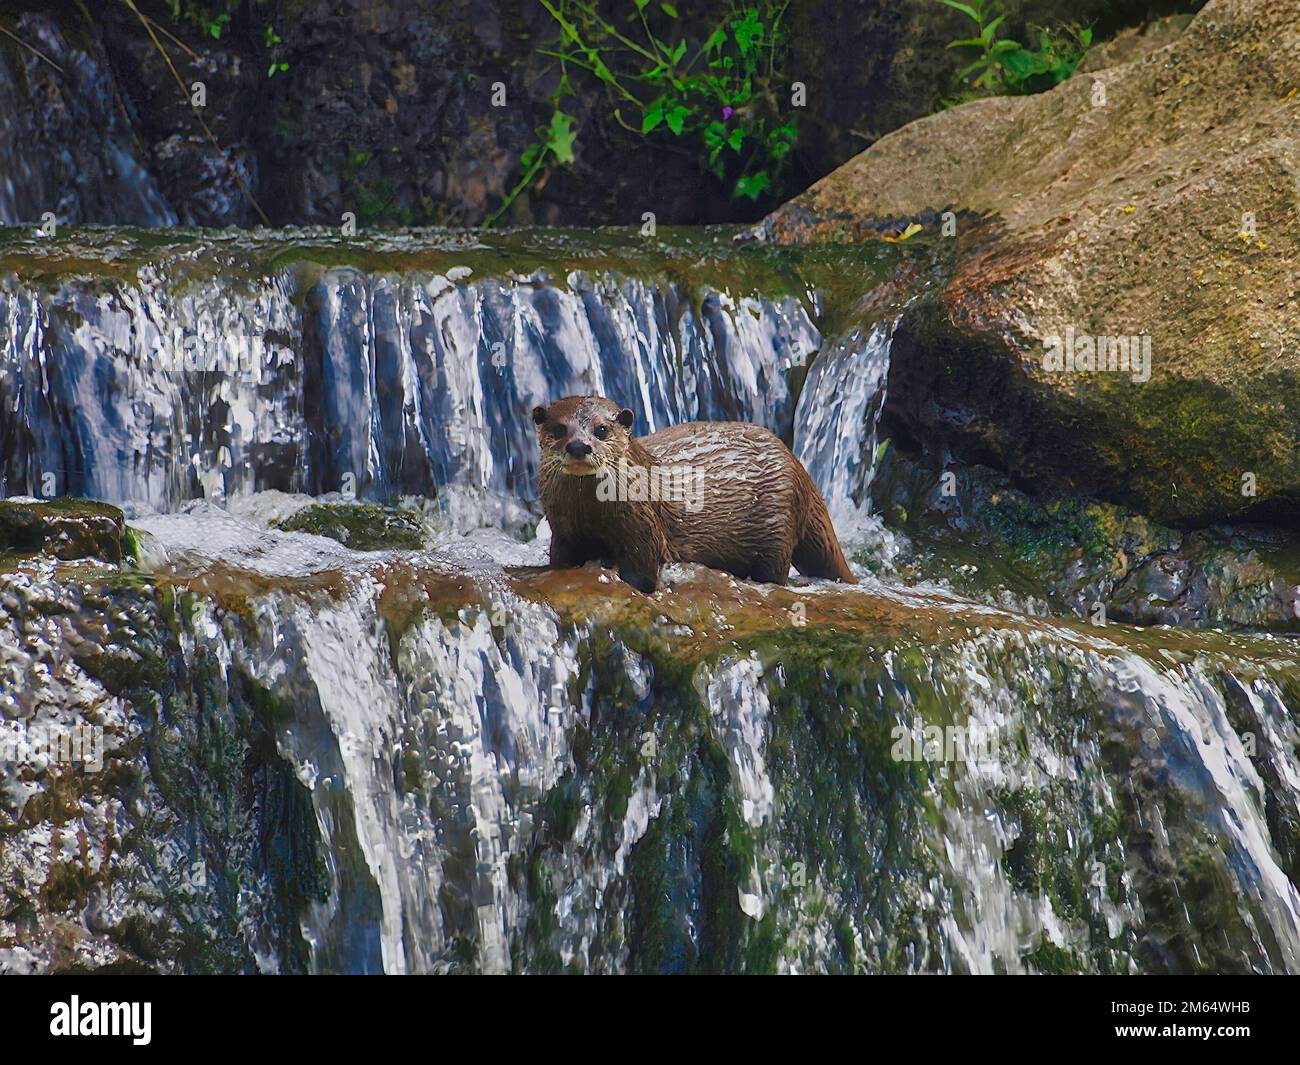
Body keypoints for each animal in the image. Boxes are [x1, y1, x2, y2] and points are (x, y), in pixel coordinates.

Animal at [532, 395, 857, 593]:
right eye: (559, 429)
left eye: (601, 430)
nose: (579, 446)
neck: (590, 514)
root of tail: (799, 467)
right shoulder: (564, 532)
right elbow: (560, 559)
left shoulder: (644, 531)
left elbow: (643, 571)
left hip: (778, 522)